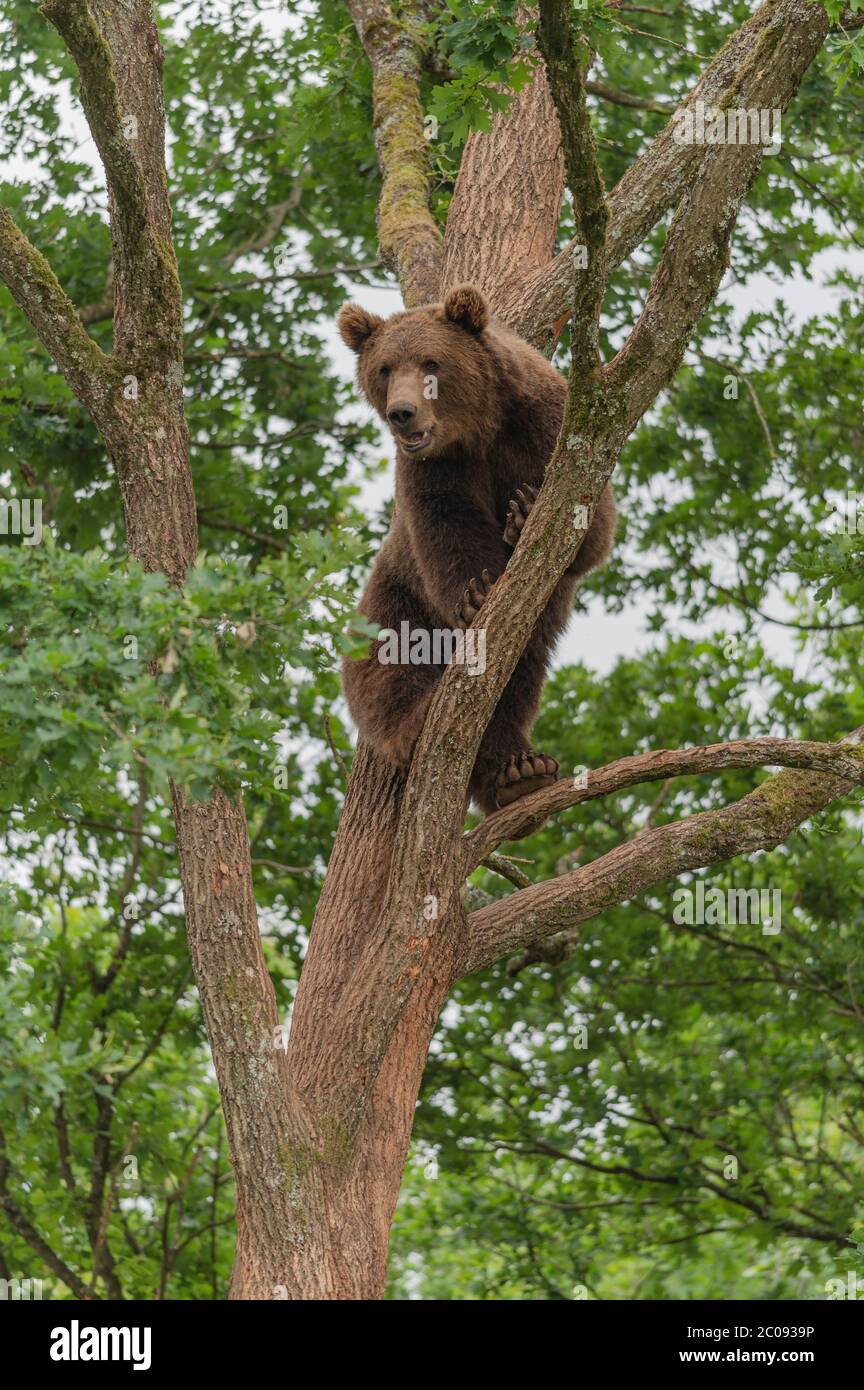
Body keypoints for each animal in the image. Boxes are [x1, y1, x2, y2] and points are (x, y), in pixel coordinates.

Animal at [337, 283, 616, 815]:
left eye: (432, 362)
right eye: (385, 368)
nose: (403, 413)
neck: (477, 429)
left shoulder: (548, 423)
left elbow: (590, 528)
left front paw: (525, 512)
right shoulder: (433, 472)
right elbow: (447, 530)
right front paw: (476, 594)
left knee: (518, 683)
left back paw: (520, 771)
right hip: (393, 597)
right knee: (390, 666)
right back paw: (420, 725)